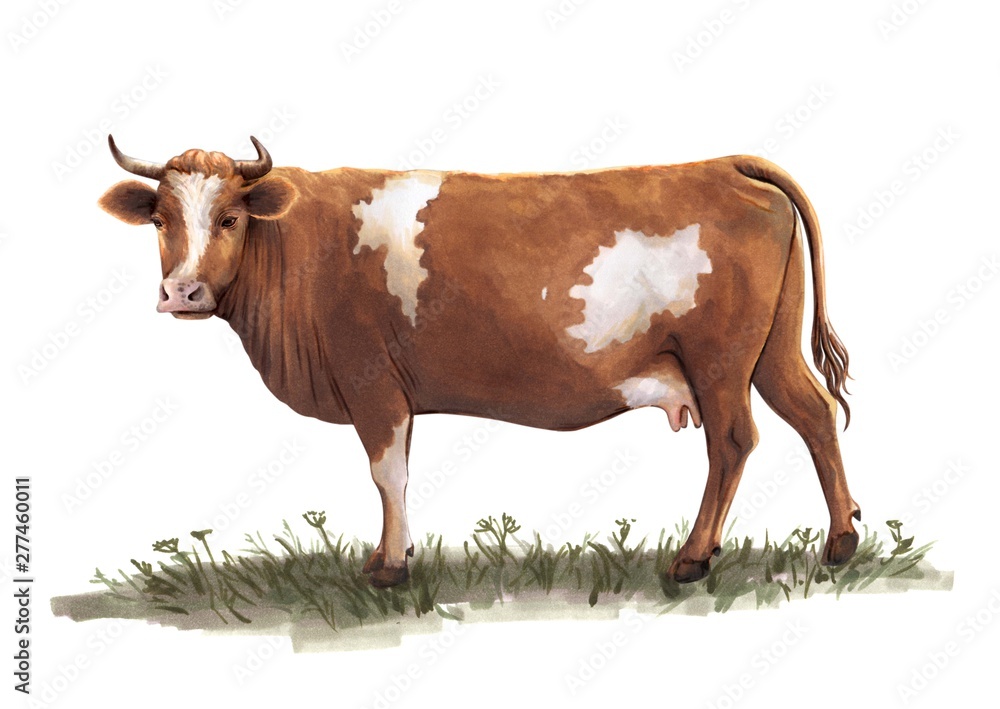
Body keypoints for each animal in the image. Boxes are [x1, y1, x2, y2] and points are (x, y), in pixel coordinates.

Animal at [98, 135, 860, 588]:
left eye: (229, 218)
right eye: (161, 220)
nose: (181, 291)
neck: (297, 243)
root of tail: (725, 163)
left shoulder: (371, 380)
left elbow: (387, 472)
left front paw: (387, 566)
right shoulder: (393, 392)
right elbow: (399, 471)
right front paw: (399, 554)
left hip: (720, 360)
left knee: (732, 440)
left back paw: (694, 558)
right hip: (770, 352)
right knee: (815, 414)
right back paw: (842, 540)